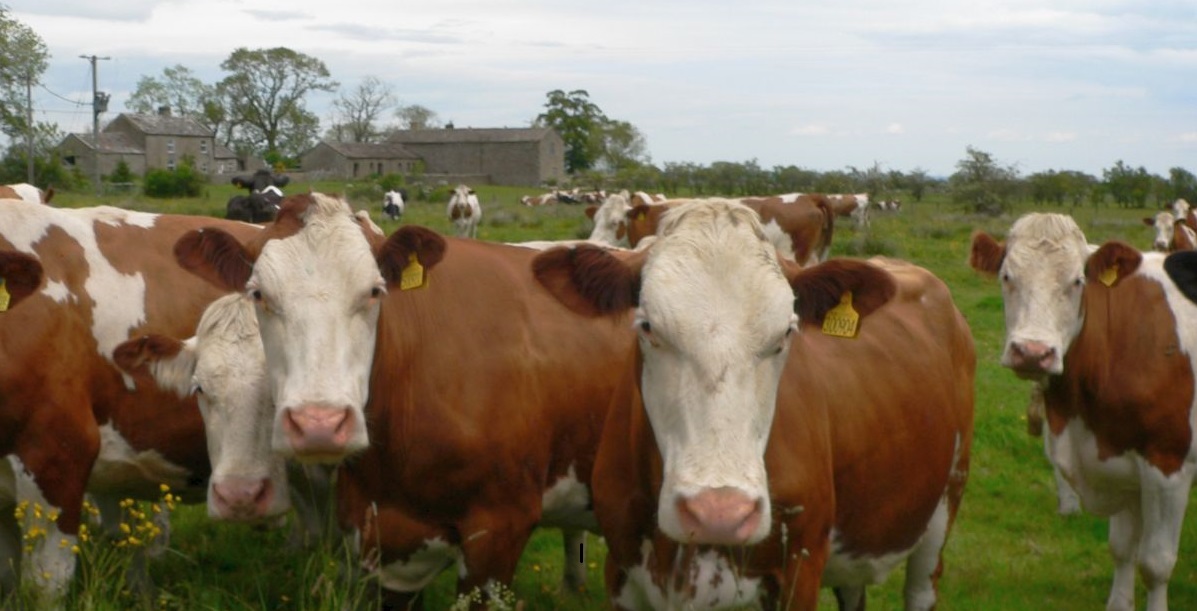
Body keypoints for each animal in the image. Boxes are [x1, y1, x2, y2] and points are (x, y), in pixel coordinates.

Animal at [533, 199, 975, 610]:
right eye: (647, 326)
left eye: (786, 333)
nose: (719, 514)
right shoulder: (621, 570)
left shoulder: (801, 569)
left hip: (945, 501)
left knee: (921, 586)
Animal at [970, 212, 1197, 611]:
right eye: (1007, 276)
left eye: (1078, 281)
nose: (1032, 353)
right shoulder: (1117, 459)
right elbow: (1122, 549)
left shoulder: (1169, 465)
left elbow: (1156, 563)